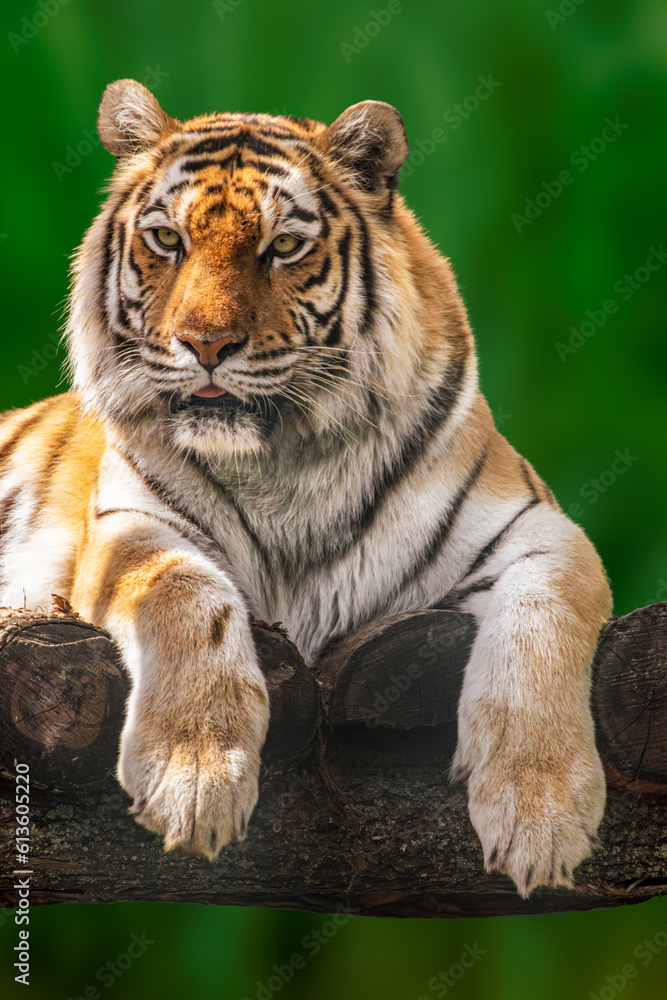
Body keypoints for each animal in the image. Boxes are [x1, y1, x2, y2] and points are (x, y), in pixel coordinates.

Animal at [0, 79, 612, 898]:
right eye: (167, 240)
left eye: (283, 246)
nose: (206, 345)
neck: (284, 463)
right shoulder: (134, 526)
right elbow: (187, 599)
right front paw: (192, 782)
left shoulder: (540, 531)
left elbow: (541, 628)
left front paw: (539, 815)